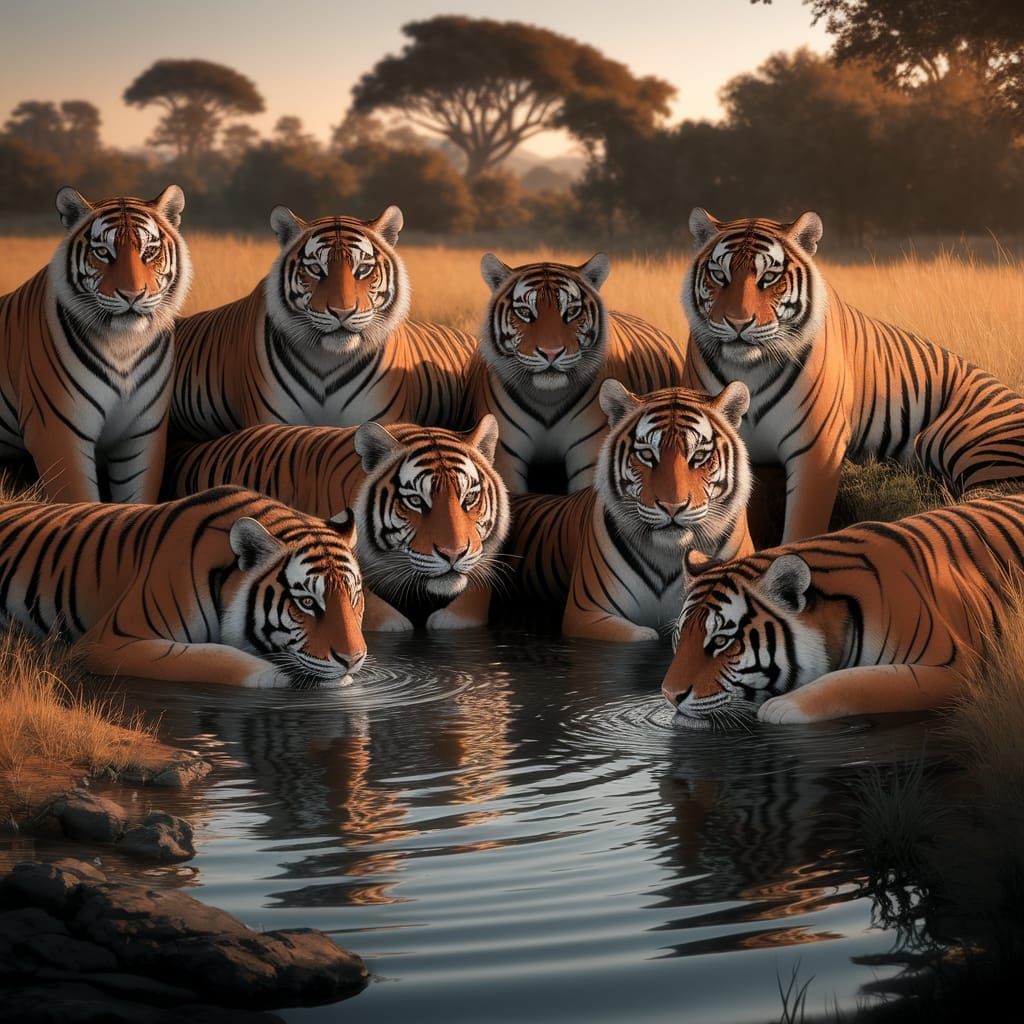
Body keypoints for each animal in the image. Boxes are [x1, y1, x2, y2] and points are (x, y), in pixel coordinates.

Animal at [0, 185, 191, 503]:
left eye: (149, 251)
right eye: (103, 252)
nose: (132, 295)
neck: (124, 345)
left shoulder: (141, 435)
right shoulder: (58, 429)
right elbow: (79, 500)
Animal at [469, 254, 687, 494]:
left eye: (571, 312)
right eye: (525, 312)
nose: (551, 352)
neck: (547, 399)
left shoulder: (589, 456)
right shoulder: (506, 457)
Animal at [503, 380, 754, 641]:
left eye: (700, 456)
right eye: (646, 454)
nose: (672, 506)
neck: (670, 555)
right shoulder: (587, 614)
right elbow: (644, 636)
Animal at [662, 494, 1024, 727]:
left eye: (721, 642)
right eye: (680, 637)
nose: (668, 695)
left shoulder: (958, 669)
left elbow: (858, 682)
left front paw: (781, 707)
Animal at [681, 208, 1024, 544]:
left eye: (769, 277)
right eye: (719, 275)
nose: (738, 323)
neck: (749, 370)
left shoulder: (817, 448)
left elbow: (801, 527)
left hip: (954, 439)